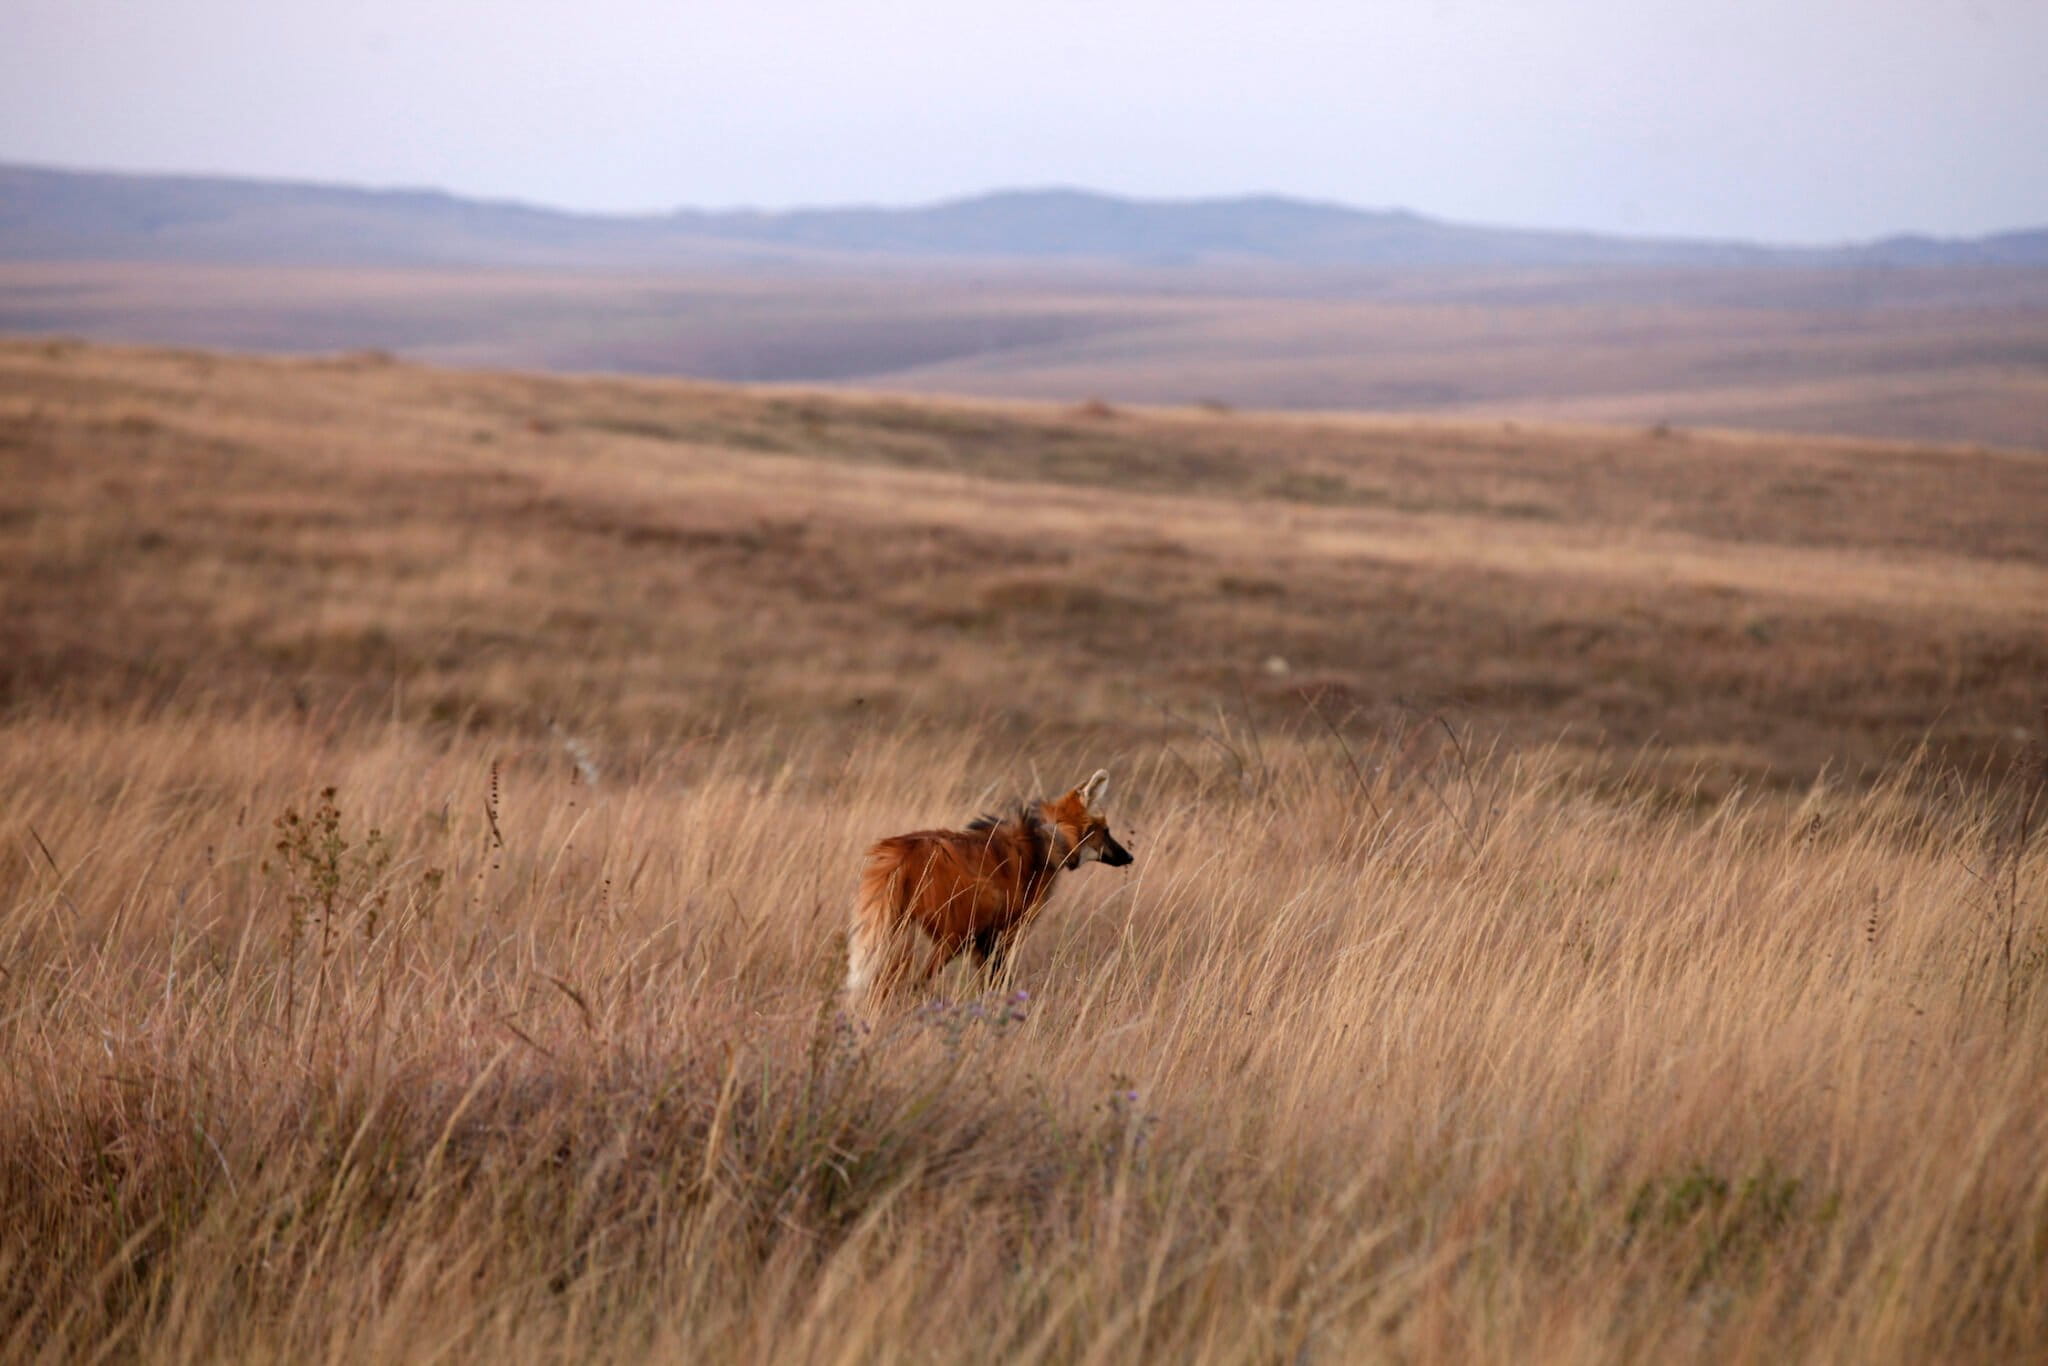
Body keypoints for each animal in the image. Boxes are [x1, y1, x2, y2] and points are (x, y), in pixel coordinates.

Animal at [845, 769, 1133, 1008]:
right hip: (959, 930)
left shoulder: (986, 939)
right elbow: (1001, 981)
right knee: (915, 980)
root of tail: (901, 851)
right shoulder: (1008, 930)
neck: (1049, 838)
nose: (1129, 857)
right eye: (1107, 831)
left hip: (900, 927)